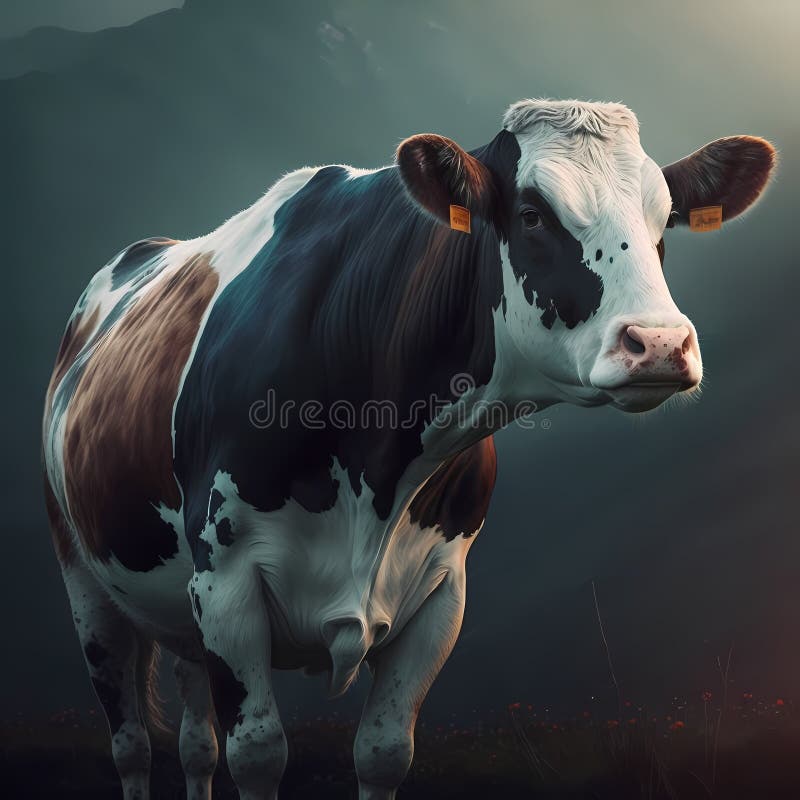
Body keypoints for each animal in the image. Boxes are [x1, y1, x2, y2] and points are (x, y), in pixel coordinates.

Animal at [43, 99, 775, 800]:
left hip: (179, 620)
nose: (661, 344)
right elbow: (257, 755)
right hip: (85, 581)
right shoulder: (223, 585)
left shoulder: (441, 594)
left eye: (666, 220)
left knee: (196, 745)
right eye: (533, 215)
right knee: (133, 744)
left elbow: (384, 752)